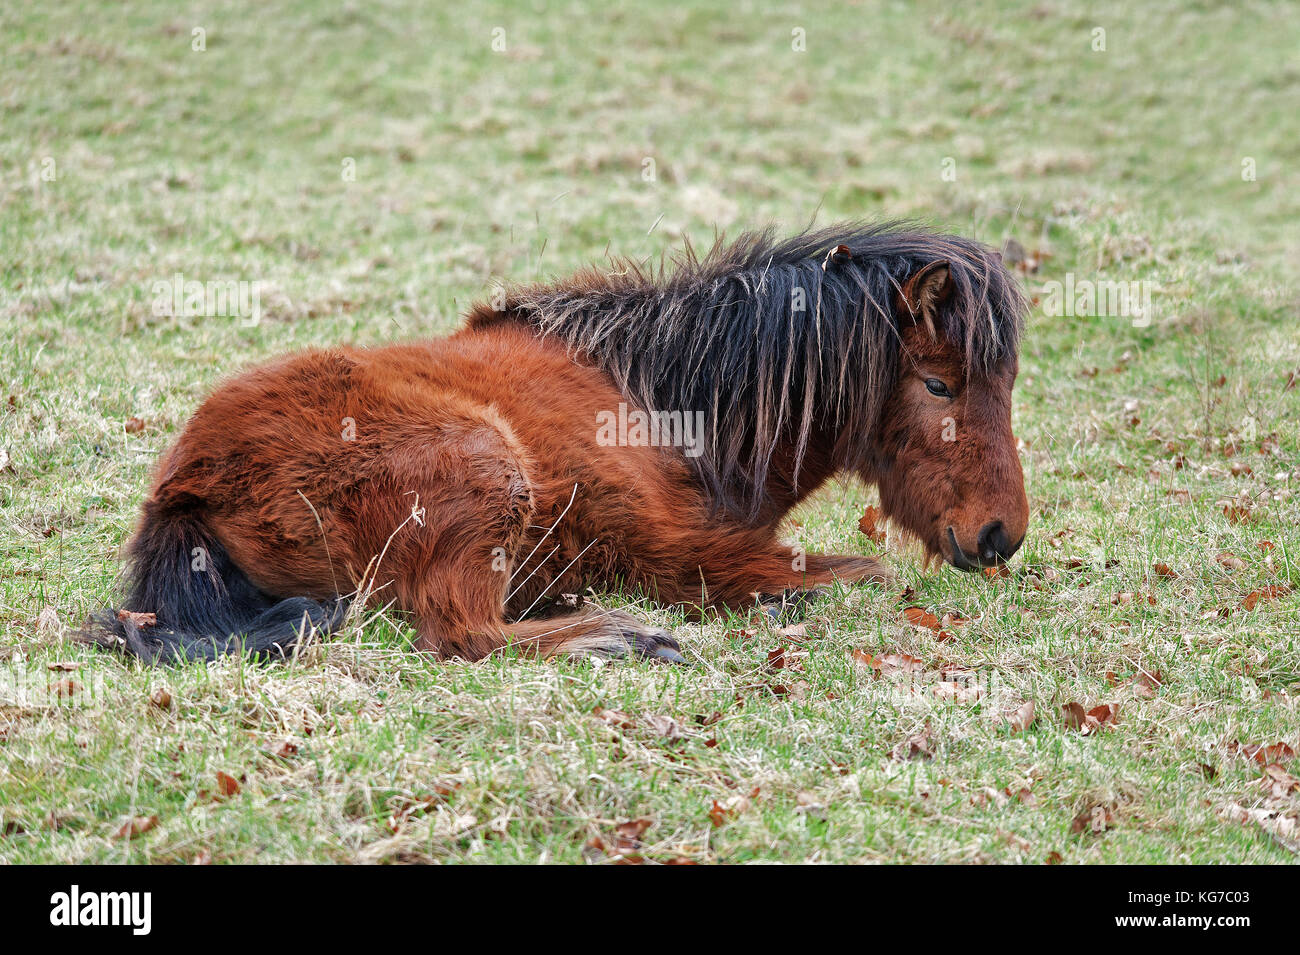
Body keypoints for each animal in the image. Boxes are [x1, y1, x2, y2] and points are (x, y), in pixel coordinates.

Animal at [86, 222, 1030, 665]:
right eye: (940, 384)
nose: (1000, 535)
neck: (657, 402)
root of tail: (189, 484)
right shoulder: (681, 556)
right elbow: (855, 576)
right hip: (485, 472)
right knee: (464, 632)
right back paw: (619, 636)